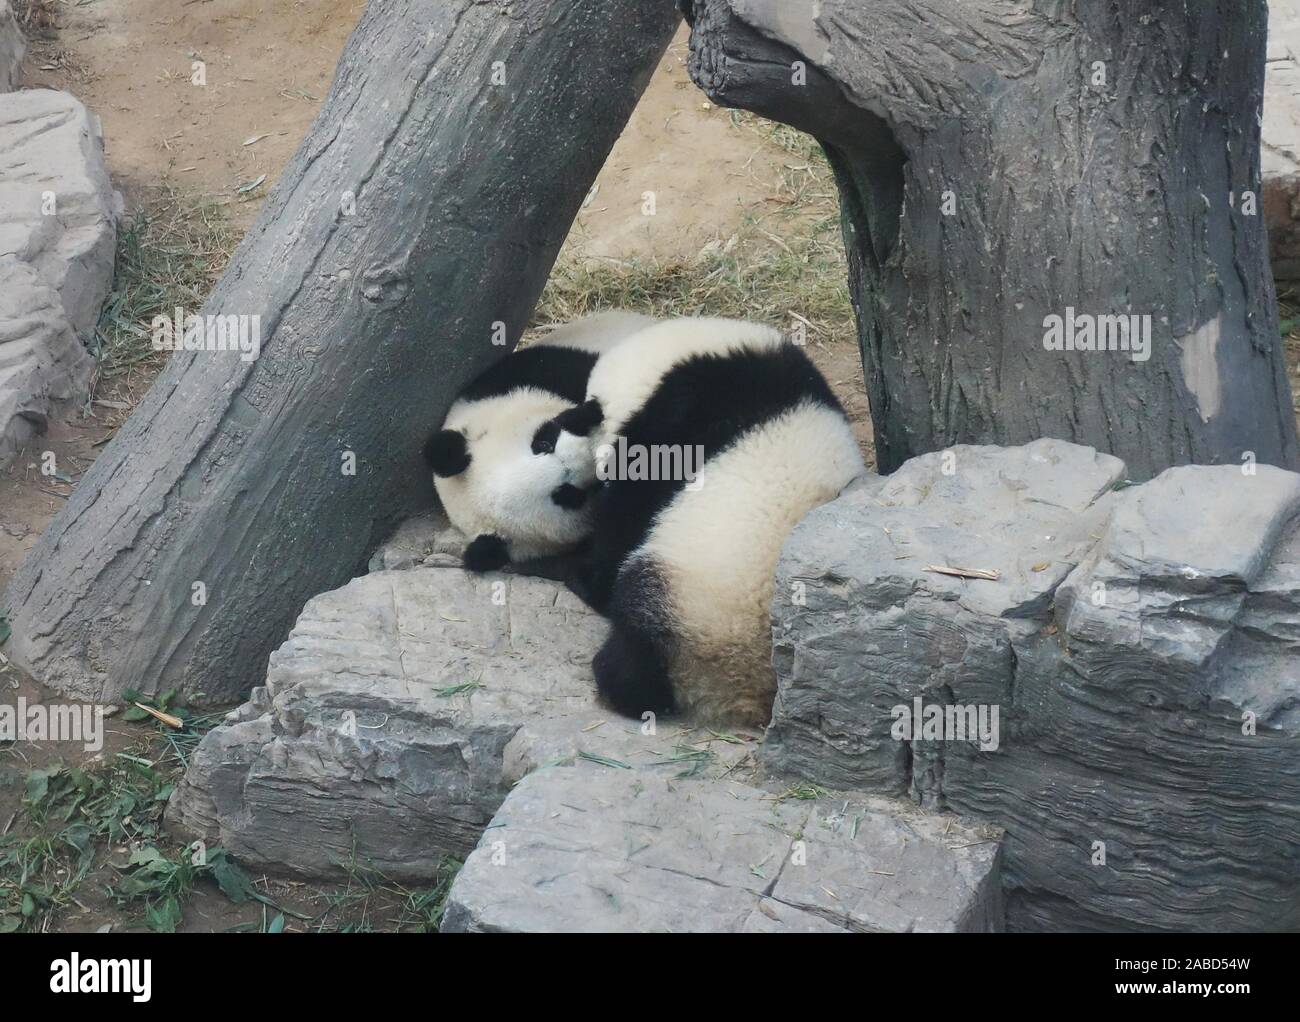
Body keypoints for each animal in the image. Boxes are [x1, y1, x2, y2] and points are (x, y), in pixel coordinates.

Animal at [549, 317, 866, 727]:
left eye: (586, 424)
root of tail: (744, 695)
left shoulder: (665, 431)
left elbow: (623, 521)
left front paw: (581, 571)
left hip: (693, 600)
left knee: (637, 636)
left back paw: (615, 674)